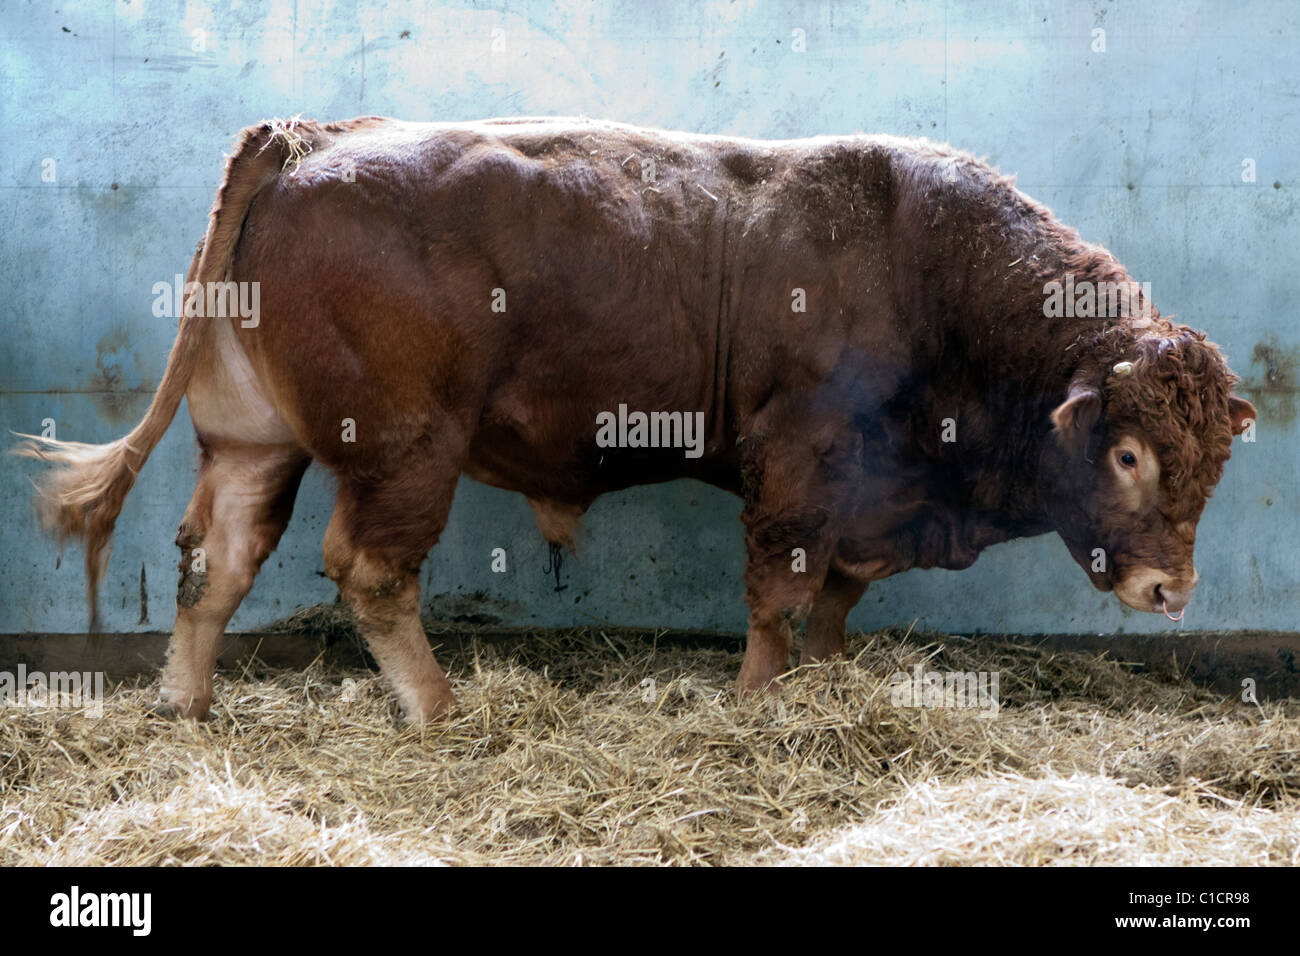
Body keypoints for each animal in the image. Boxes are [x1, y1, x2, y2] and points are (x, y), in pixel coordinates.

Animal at [18, 116, 1256, 724]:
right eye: (1129, 452)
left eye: (1213, 464)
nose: (1170, 590)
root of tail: (312, 140)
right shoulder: (799, 464)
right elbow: (780, 591)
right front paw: (757, 703)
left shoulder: (867, 499)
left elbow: (836, 598)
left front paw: (826, 678)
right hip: (407, 450)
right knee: (368, 572)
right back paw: (439, 707)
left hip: (253, 439)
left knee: (212, 562)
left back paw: (184, 700)